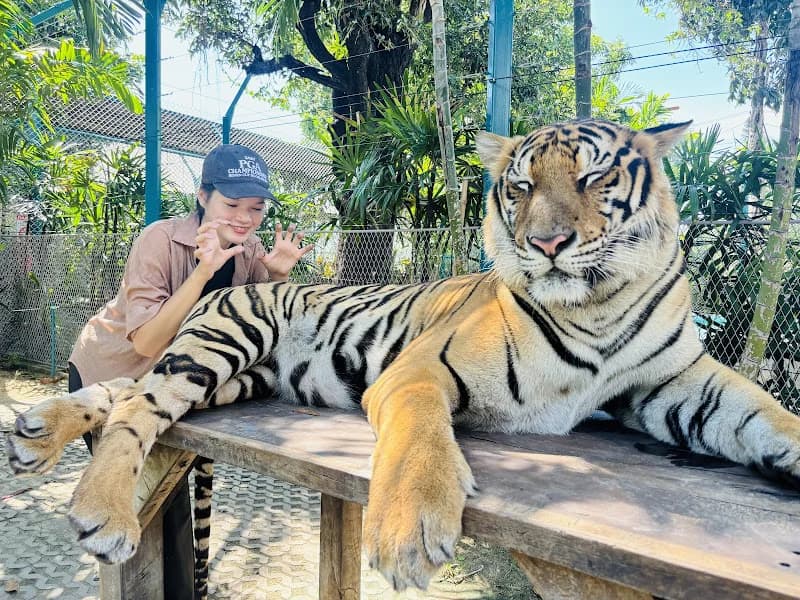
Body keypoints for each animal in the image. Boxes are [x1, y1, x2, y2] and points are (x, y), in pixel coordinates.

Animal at [7, 119, 800, 596]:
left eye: (594, 178)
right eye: (520, 186)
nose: (546, 243)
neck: (596, 304)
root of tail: (224, 287)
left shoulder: (676, 384)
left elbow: (764, 416)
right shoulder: (422, 368)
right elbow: (422, 438)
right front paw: (408, 533)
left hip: (230, 379)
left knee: (121, 390)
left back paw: (35, 435)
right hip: (225, 342)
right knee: (135, 407)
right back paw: (99, 508)